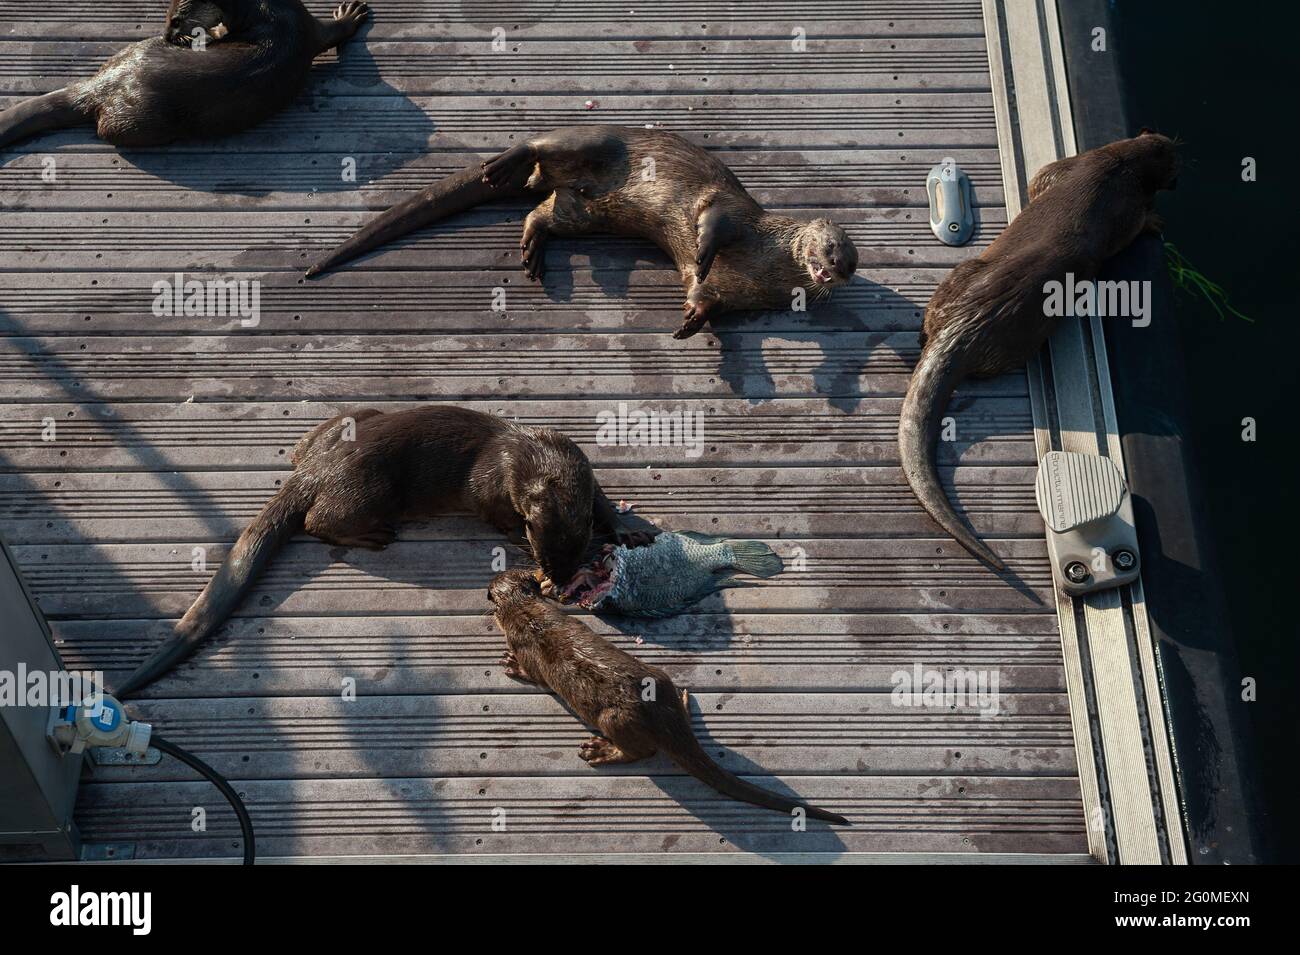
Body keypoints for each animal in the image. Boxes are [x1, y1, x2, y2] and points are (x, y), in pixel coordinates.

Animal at [0, 0, 371, 150]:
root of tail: (103, 85)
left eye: (175, 19)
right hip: (137, 121)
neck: (268, 11)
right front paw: (349, 15)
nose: (167, 35)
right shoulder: (305, 26)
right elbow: (332, 33)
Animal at [114, 406, 645, 697]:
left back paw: (298, 449)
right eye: (543, 549)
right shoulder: (489, 488)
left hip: (354, 421)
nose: (559, 576)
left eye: (573, 554)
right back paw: (374, 537)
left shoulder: (578, 463)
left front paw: (626, 531)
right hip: (369, 488)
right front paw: (515, 535)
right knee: (317, 522)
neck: (526, 456)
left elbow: (601, 501)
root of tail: (319, 469)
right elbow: (495, 514)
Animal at [305, 125, 859, 339]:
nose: (834, 271)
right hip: (595, 141)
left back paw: (531, 251)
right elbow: (710, 225)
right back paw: (502, 165)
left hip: (581, 211)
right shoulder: (733, 211)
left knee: (541, 210)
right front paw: (702, 253)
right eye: (831, 248)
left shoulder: (731, 292)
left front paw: (690, 322)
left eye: (851, 268)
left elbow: (705, 298)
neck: (763, 262)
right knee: (541, 146)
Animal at [487, 569, 850, 825]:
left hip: (616, 719)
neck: (527, 611)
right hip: (658, 674)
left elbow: (530, 672)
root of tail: (662, 715)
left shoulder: (524, 646)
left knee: (641, 751)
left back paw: (602, 751)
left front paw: (512, 665)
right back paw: (684, 701)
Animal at [899, 131, 1179, 570]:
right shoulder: (1125, 207)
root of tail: (965, 325)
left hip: (962, 275)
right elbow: (1128, 229)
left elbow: (1040, 180)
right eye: (1177, 158)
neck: (1119, 164)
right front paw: (1156, 222)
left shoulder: (1072, 167)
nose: (1178, 155)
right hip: (1021, 333)